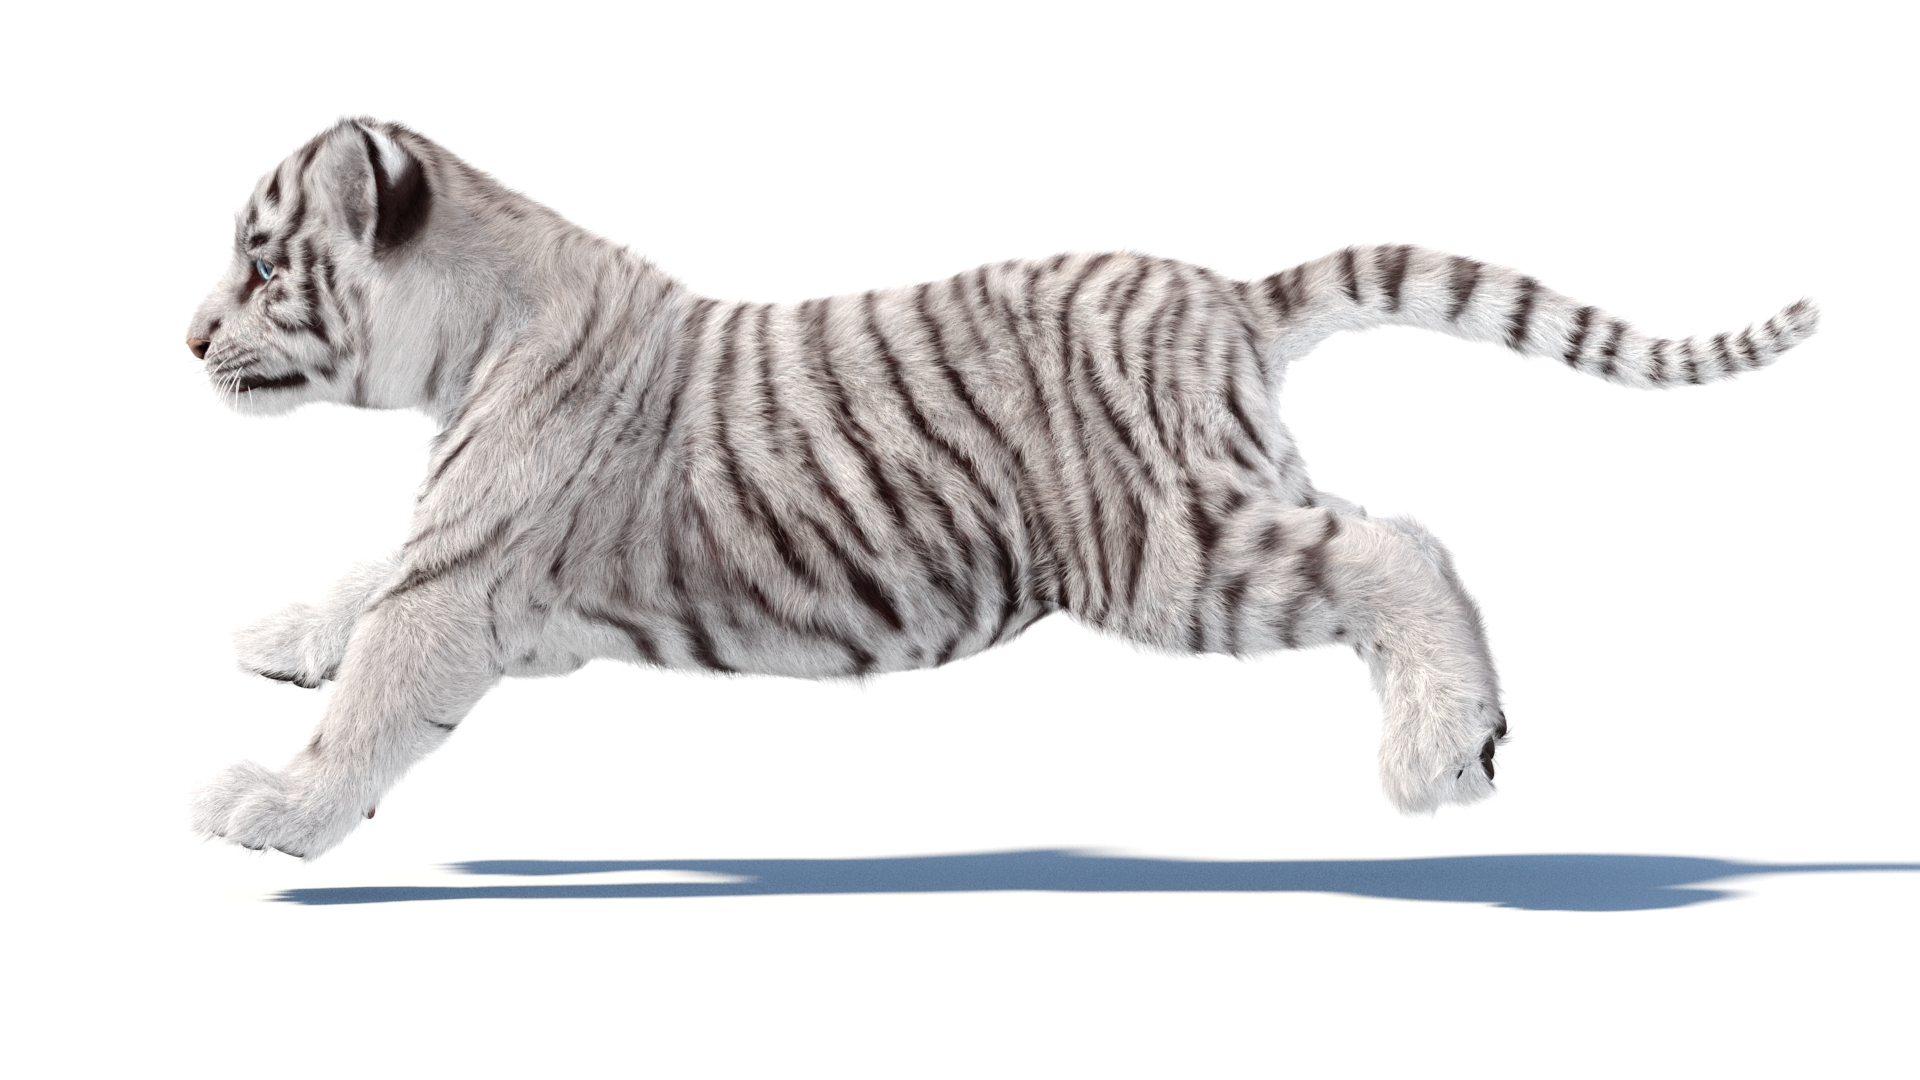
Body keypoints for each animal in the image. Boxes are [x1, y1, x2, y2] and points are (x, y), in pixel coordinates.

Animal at [187, 118, 1818, 858]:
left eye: (263, 264)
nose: (191, 335)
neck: (470, 330)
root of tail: (1222, 293)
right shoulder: (464, 563)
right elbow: (362, 583)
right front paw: (278, 639)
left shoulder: (465, 583)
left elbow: (375, 695)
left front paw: (269, 802)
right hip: (1224, 502)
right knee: (1381, 530)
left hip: (1168, 554)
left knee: (1399, 546)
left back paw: (1441, 754)